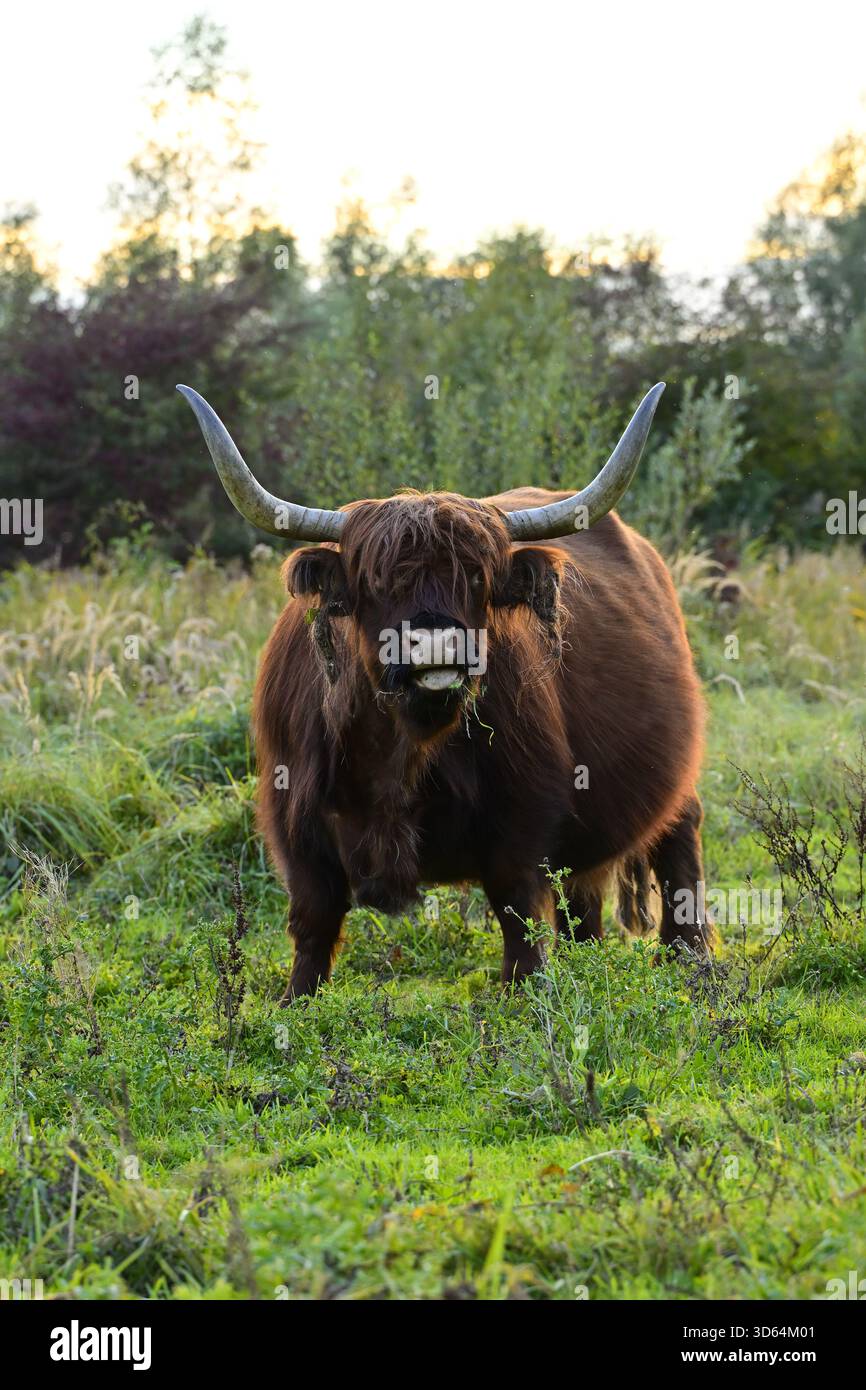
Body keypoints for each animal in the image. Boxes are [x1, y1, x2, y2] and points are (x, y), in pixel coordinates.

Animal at [178, 382, 712, 1001]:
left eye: (477, 578)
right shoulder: (295, 821)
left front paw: (524, 995)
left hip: (676, 780)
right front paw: (296, 1002)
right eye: (376, 581)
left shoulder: (523, 815)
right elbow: (312, 920)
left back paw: (690, 964)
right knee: (584, 903)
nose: (435, 644)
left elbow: (517, 913)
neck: (396, 750)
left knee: (679, 846)